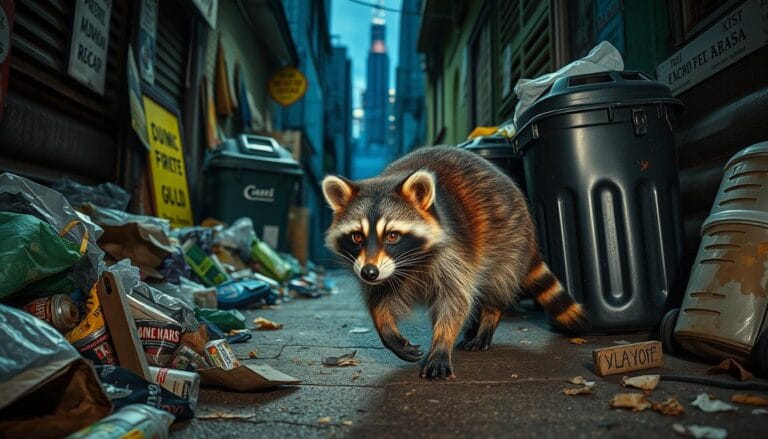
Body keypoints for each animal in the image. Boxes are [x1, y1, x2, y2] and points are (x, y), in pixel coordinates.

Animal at [321, 146, 586, 379]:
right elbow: (380, 299)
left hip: (509, 242)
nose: (369, 273)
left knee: (496, 284)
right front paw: (386, 330)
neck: (409, 262)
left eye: (392, 236)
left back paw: (488, 320)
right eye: (357, 237)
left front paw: (442, 343)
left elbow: (454, 301)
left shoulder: (454, 253)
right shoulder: (382, 269)